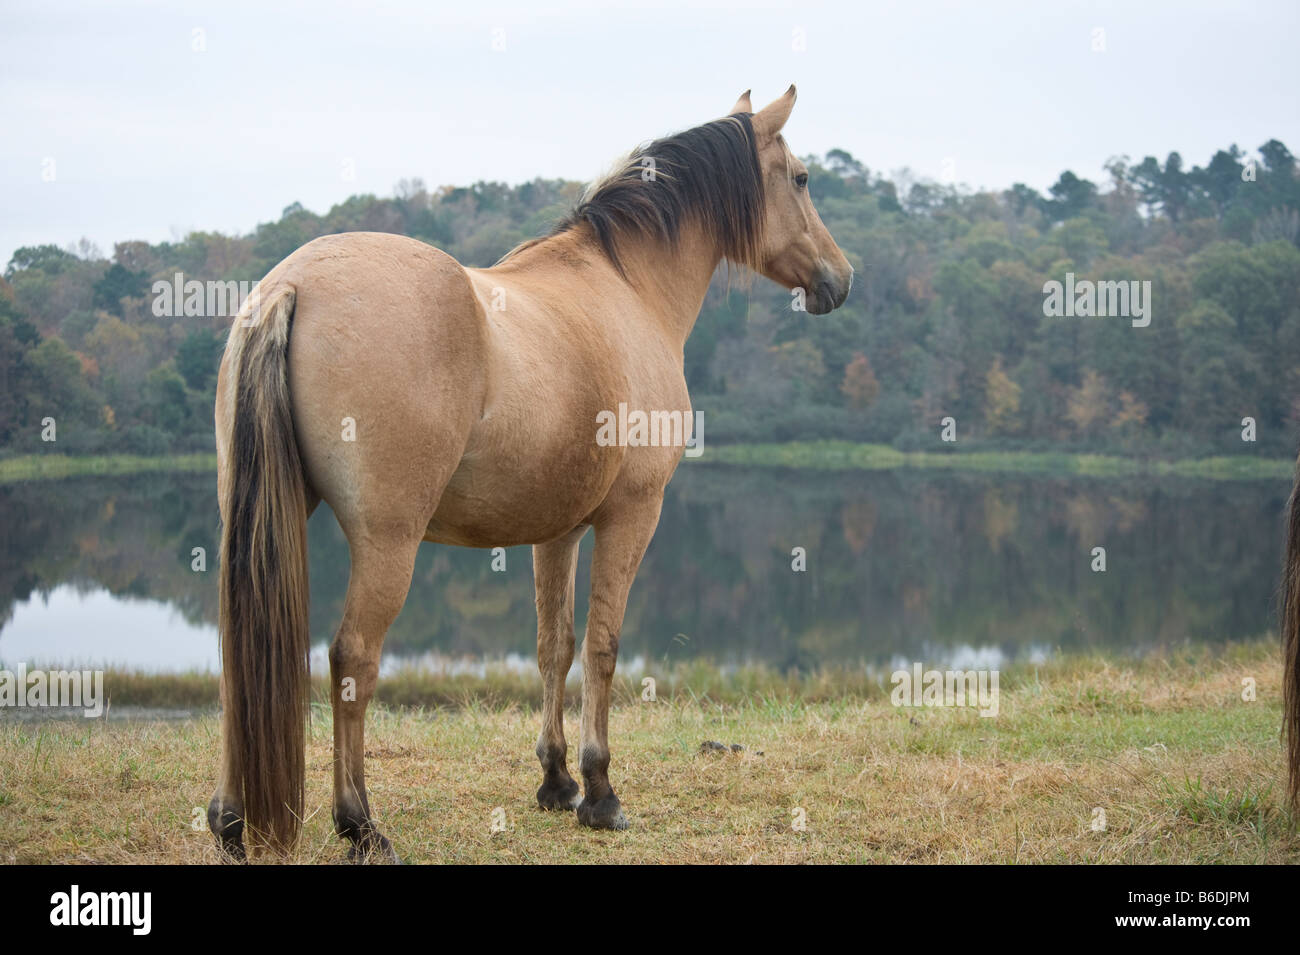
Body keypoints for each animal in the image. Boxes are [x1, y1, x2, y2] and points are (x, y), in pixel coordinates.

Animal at [208, 86, 854, 860]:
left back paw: (230, 820)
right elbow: (603, 646)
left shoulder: (558, 531)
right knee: (352, 660)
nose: (839, 279)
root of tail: (291, 286)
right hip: (388, 542)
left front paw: (555, 782)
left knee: (238, 650)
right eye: (801, 179)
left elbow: (555, 647)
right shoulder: (632, 514)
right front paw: (601, 793)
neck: (627, 287)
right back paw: (359, 822)